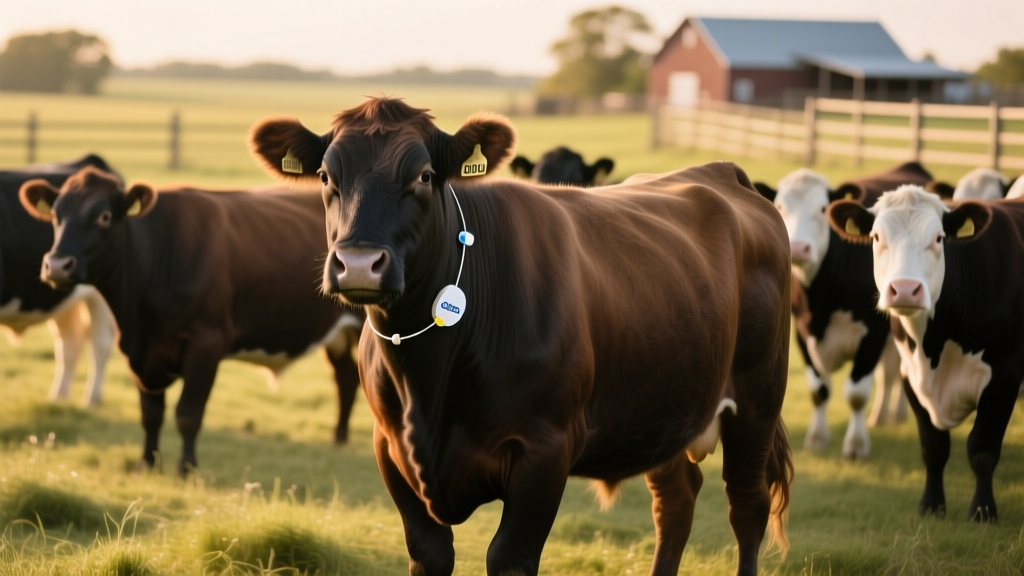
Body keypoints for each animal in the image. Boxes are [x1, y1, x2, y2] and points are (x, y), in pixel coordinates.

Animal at [19, 168, 365, 475]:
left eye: (103, 216)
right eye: (55, 215)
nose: (57, 265)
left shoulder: (206, 345)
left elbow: (188, 414)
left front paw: (186, 470)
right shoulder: (138, 353)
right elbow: (151, 414)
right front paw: (146, 464)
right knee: (346, 377)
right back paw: (338, 439)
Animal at [248, 96, 793, 576]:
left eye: (423, 176)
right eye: (326, 177)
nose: (359, 263)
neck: (427, 381)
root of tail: (720, 172)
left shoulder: (545, 450)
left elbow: (509, 557)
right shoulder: (390, 448)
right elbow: (430, 555)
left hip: (757, 399)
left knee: (746, 506)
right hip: (667, 407)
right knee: (676, 502)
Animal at [752, 162, 933, 458]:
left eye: (823, 208)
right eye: (779, 206)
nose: (798, 247)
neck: (820, 301)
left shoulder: (873, 332)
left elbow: (857, 393)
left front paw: (856, 446)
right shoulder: (802, 332)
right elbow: (819, 390)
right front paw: (817, 439)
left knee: (896, 370)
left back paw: (896, 414)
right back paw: (880, 417)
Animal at [828, 185, 1024, 522]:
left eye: (938, 238)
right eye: (877, 237)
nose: (905, 289)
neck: (935, 347)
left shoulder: (1003, 375)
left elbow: (982, 448)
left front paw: (982, 511)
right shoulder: (910, 373)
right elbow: (933, 447)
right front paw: (931, 505)